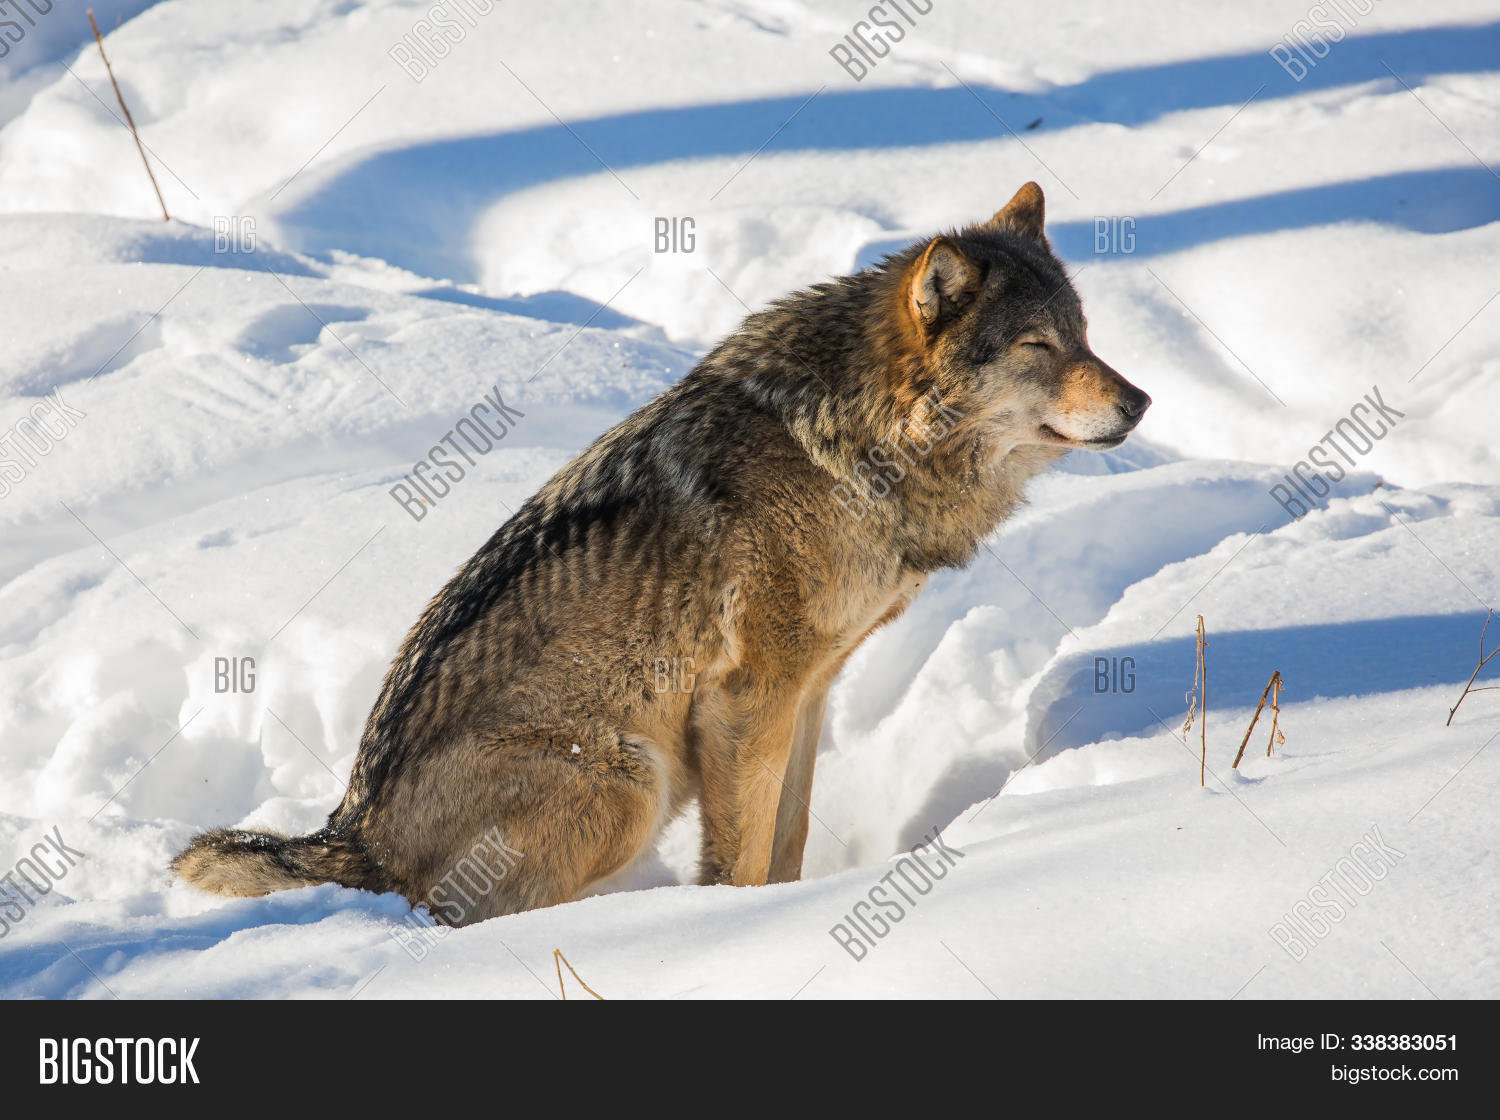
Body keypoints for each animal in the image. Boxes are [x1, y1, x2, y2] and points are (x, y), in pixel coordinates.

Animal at [174, 183, 1150, 923]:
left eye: (1085, 335)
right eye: (1038, 346)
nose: (1140, 402)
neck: (850, 446)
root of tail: (355, 836)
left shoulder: (810, 690)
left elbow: (788, 835)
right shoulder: (749, 696)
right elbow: (743, 855)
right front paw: (730, 925)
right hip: (626, 781)